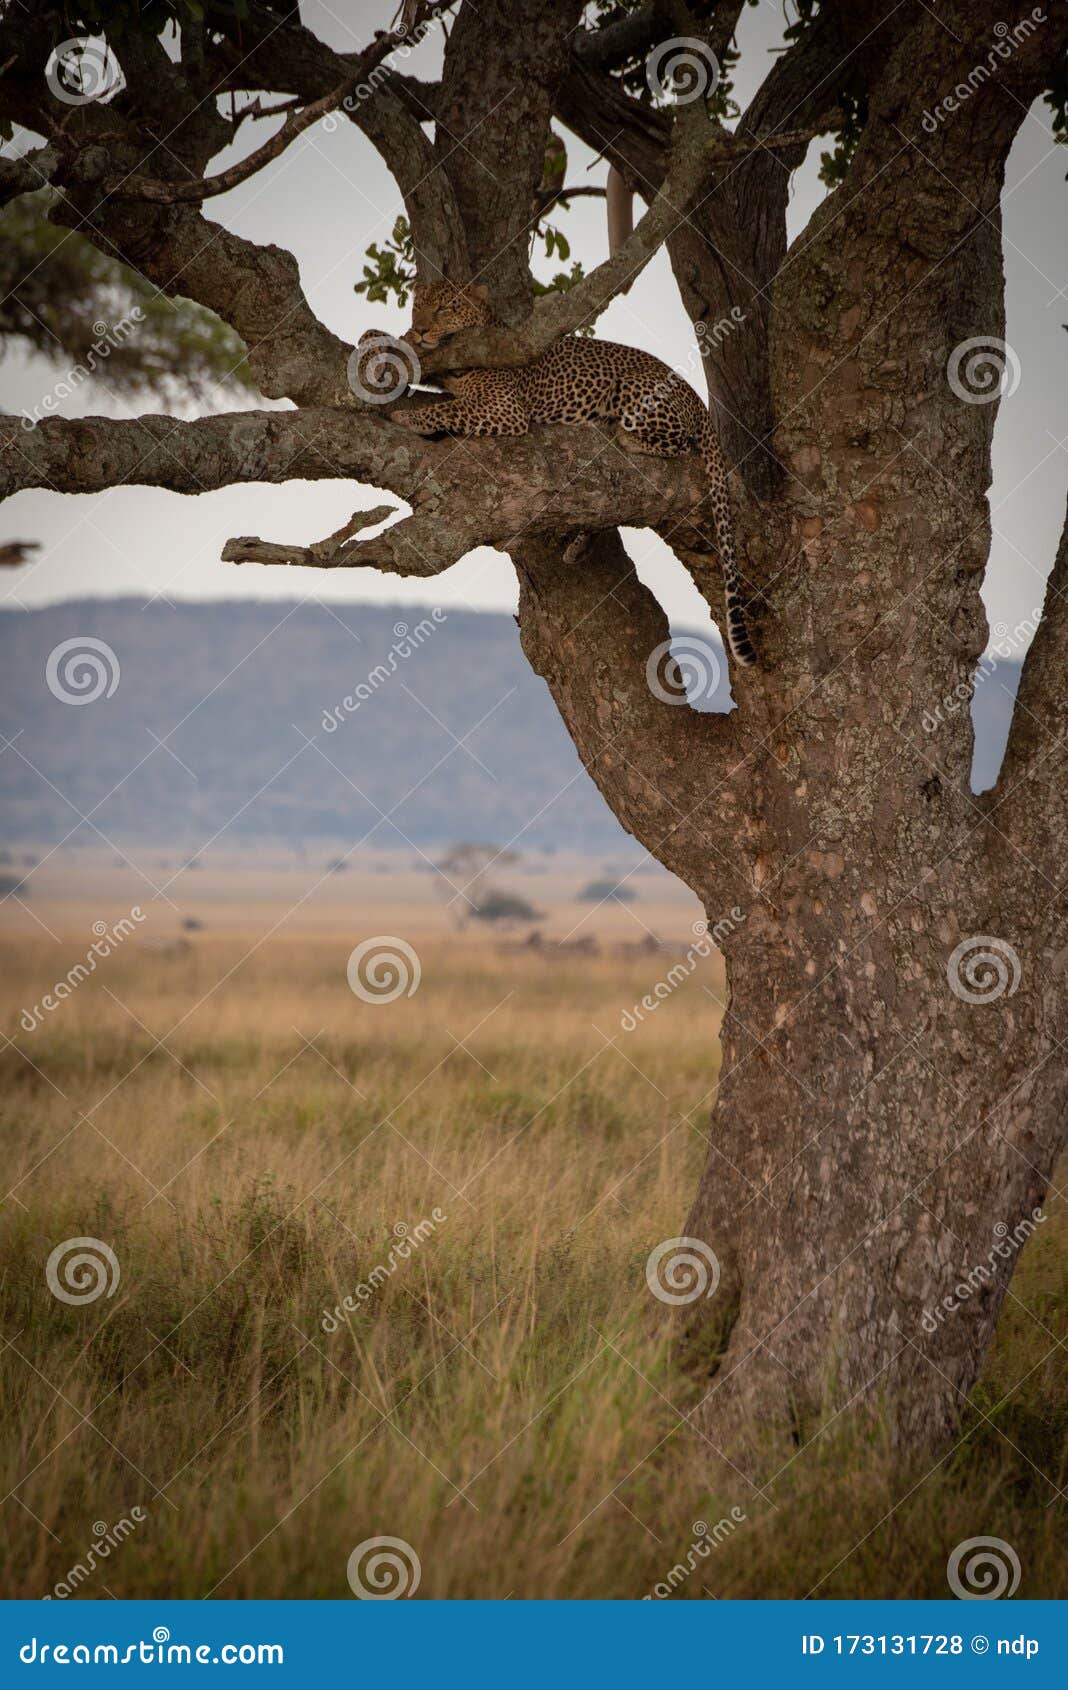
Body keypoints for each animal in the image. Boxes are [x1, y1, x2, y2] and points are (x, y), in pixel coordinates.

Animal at [371, 280, 756, 668]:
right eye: (419, 305)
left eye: (447, 307)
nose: (421, 328)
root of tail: (696, 398)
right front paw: (382, 336)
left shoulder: (505, 409)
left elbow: (450, 409)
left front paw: (410, 417)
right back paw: (578, 543)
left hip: (635, 389)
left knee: (681, 444)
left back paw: (623, 436)